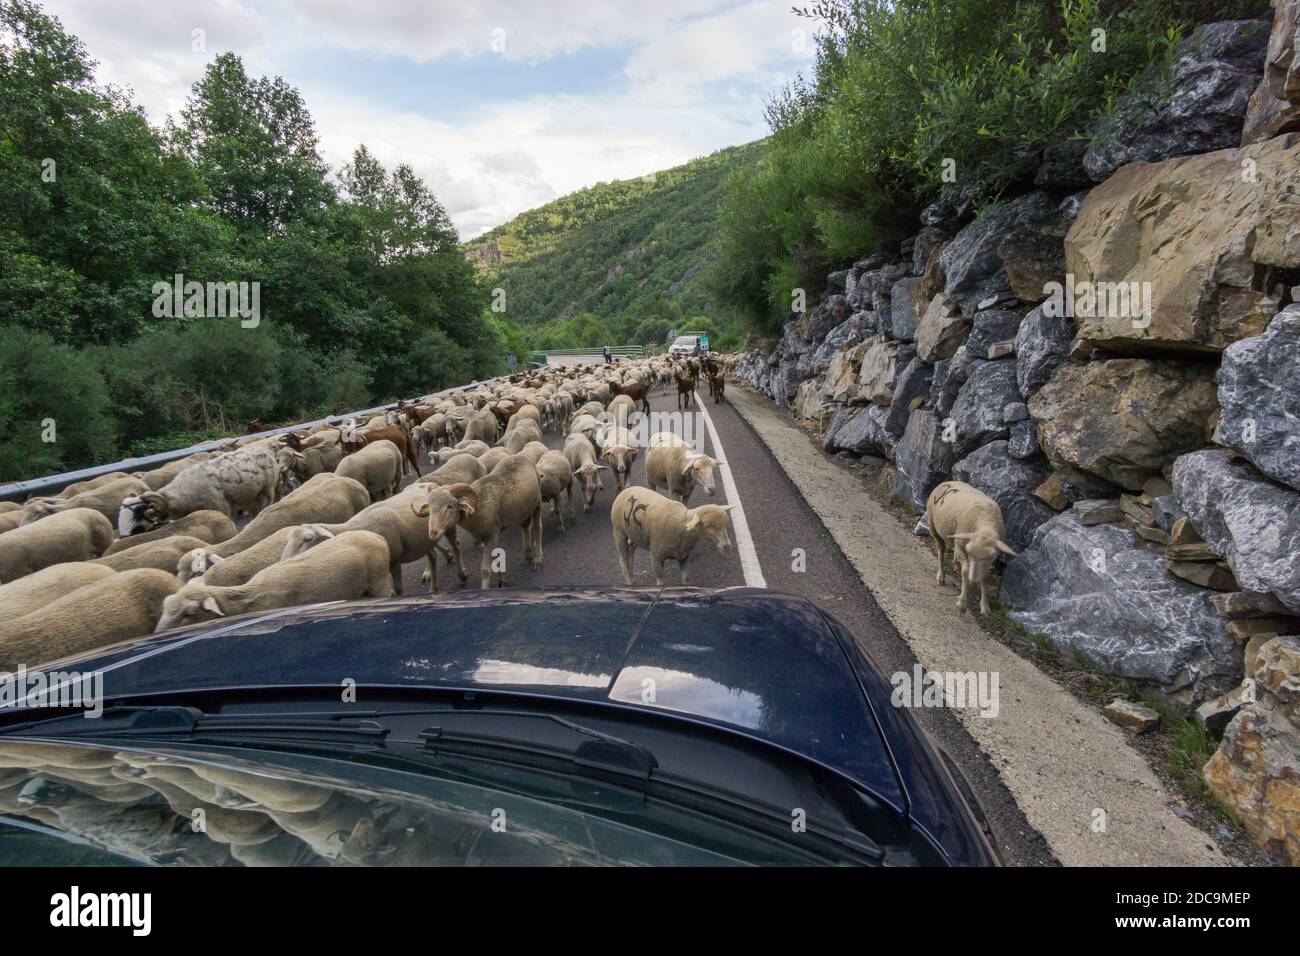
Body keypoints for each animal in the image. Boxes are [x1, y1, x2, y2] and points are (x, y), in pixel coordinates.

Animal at [117, 445, 280, 535]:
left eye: (138, 520)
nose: (124, 539)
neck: (185, 494)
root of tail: (265, 449)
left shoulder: (222, 510)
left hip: (266, 491)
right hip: (251, 497)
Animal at [155, 530, 393, 632]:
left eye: (188, 613)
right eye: (165, 606)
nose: (158, 633)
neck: (248, 598)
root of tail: (377, 536)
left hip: (378, 581)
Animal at [411, 456, 542, 589]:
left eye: (449, 506)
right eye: (430, 508)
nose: (432, 533)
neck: (476, 510)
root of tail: (521, 456)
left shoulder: (492, 536)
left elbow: (485, 569)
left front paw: (486, 588)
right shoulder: (490, 534)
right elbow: (497, 558)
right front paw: (502, 580)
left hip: (538, 503)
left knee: (537, 529)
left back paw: (538, 559)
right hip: (524, 508)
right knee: (525, 526)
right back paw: (528, 553)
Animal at [926, 481, 1017, 615]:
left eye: (991, 556)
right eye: (969, 552)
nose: (973, 581)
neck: (985, 522)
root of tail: (947, 482)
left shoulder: (989, 560)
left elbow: (985, 576)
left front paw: (985, 606)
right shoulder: (961, 548)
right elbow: (966, 570)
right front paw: (962, 603)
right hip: (934, 528)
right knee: (941, 551)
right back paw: (941, 576)